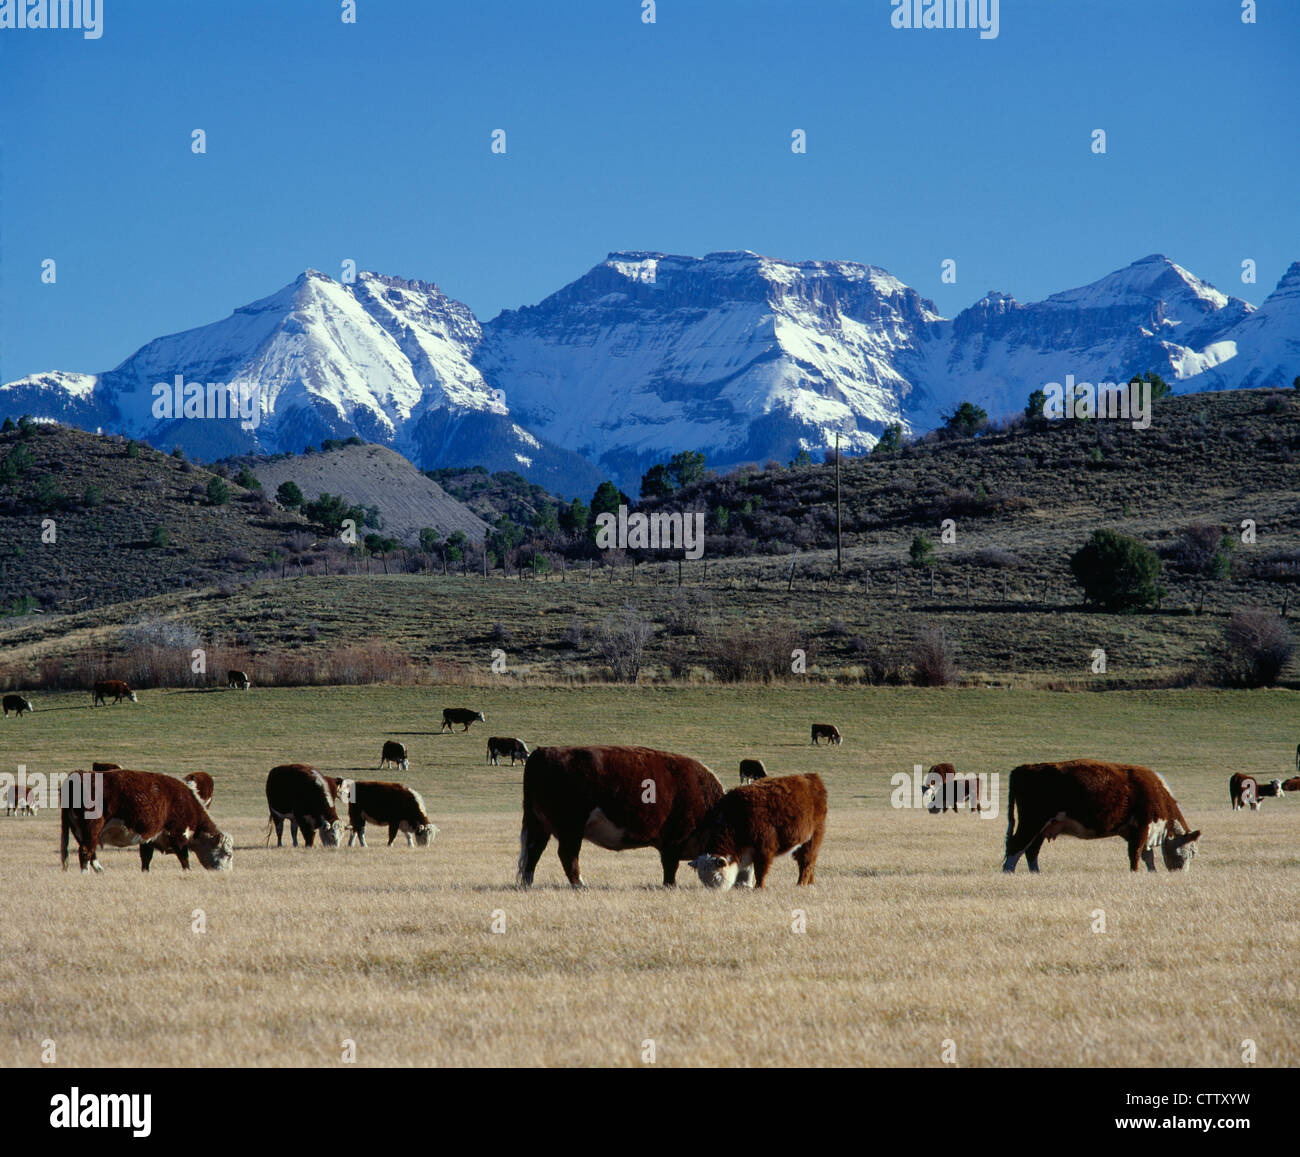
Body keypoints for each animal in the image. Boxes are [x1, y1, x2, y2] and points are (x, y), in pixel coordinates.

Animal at [60, 769, 233, 873]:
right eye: (228, 854)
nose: (226, 873)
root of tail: (79, 774)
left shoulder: (149, 838)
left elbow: (146, 859)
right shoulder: (178, 835)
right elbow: (184, 858)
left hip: (79, 830)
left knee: (91, 851)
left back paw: (99, 870)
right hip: (92, 826)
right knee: (85, 851)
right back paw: (86, 873)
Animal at [517, 745, 724, 888]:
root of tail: (543, 751)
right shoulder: (674, 840)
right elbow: (670, 866)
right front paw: (670, 886)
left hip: (539, 825)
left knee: (534, 851)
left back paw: (528, 883)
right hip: (571, 828)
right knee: (567, 854)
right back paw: (580, 885)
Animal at [690, 773, 827, 890]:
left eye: (716, 876)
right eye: (702, 878)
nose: (712, 892)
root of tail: (812, 777)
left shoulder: (764, 850)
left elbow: (760, 870)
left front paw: (759, 887)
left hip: (812, 839)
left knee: (806, 861)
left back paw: (801, 884)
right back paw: (810, 883)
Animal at [1003, 759, 1200, 873]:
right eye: (1191, 852)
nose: (1182, 873)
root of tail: (1023, 768)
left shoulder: (1142, 831)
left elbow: (1147, 856)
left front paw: (1152, 872)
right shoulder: (1141, 827)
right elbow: (1135, 853)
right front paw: (1134, 873)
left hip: (1043, 828)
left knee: (1031, 851)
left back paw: (1036, 873)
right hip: (1032, 823)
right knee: (1016, 847)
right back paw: (1008, 872)